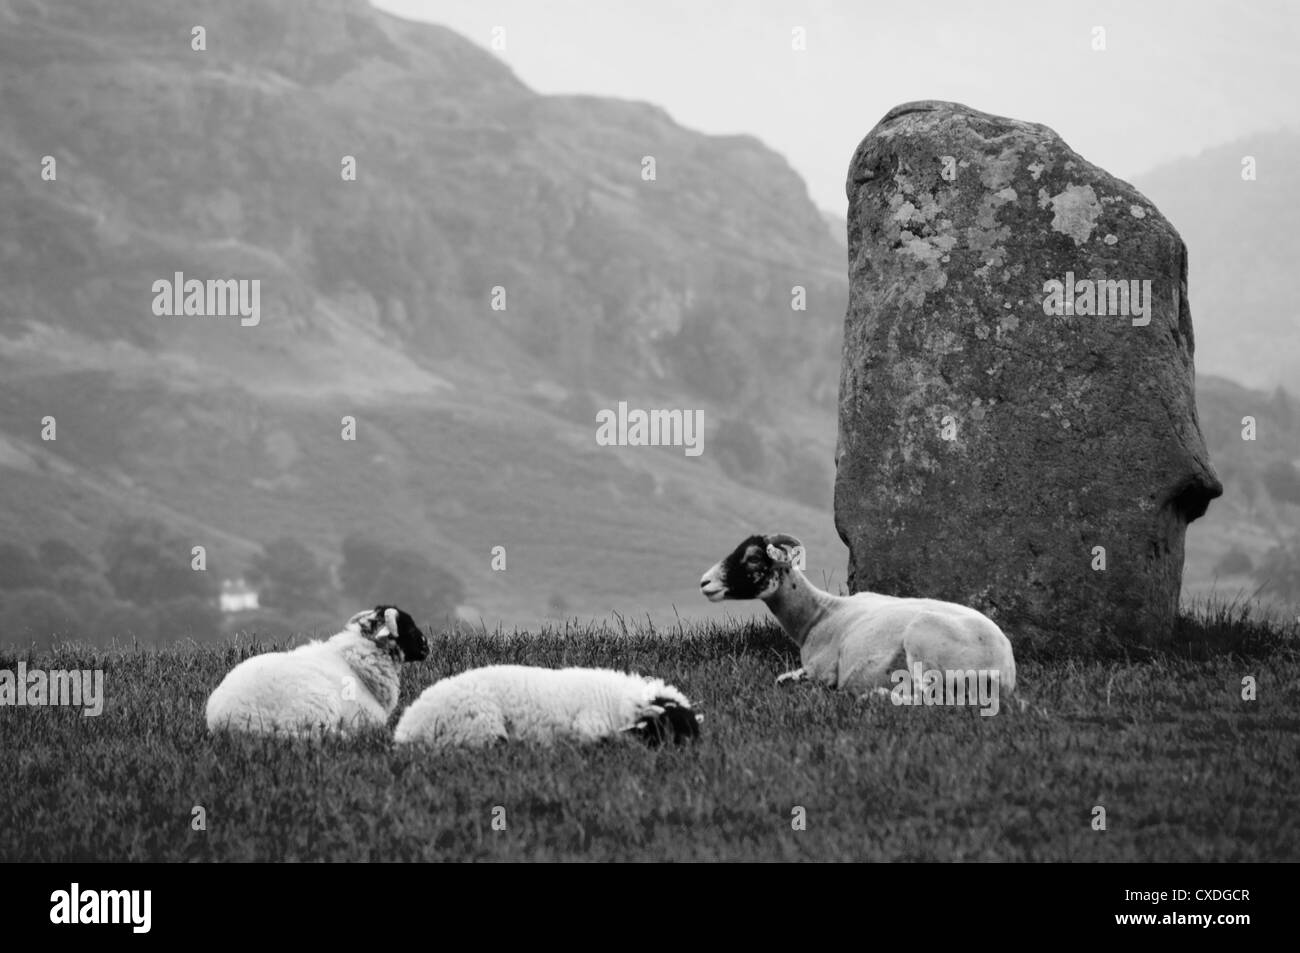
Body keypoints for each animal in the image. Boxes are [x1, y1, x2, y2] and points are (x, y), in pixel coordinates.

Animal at [699, 534, 1018, 705]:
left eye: (753, 558)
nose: (704, 582)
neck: (818, 616)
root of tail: (1003, 668)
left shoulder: (822, 669)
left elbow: (791, 681)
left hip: (923, 641)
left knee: (928, 698)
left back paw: (873, 695)